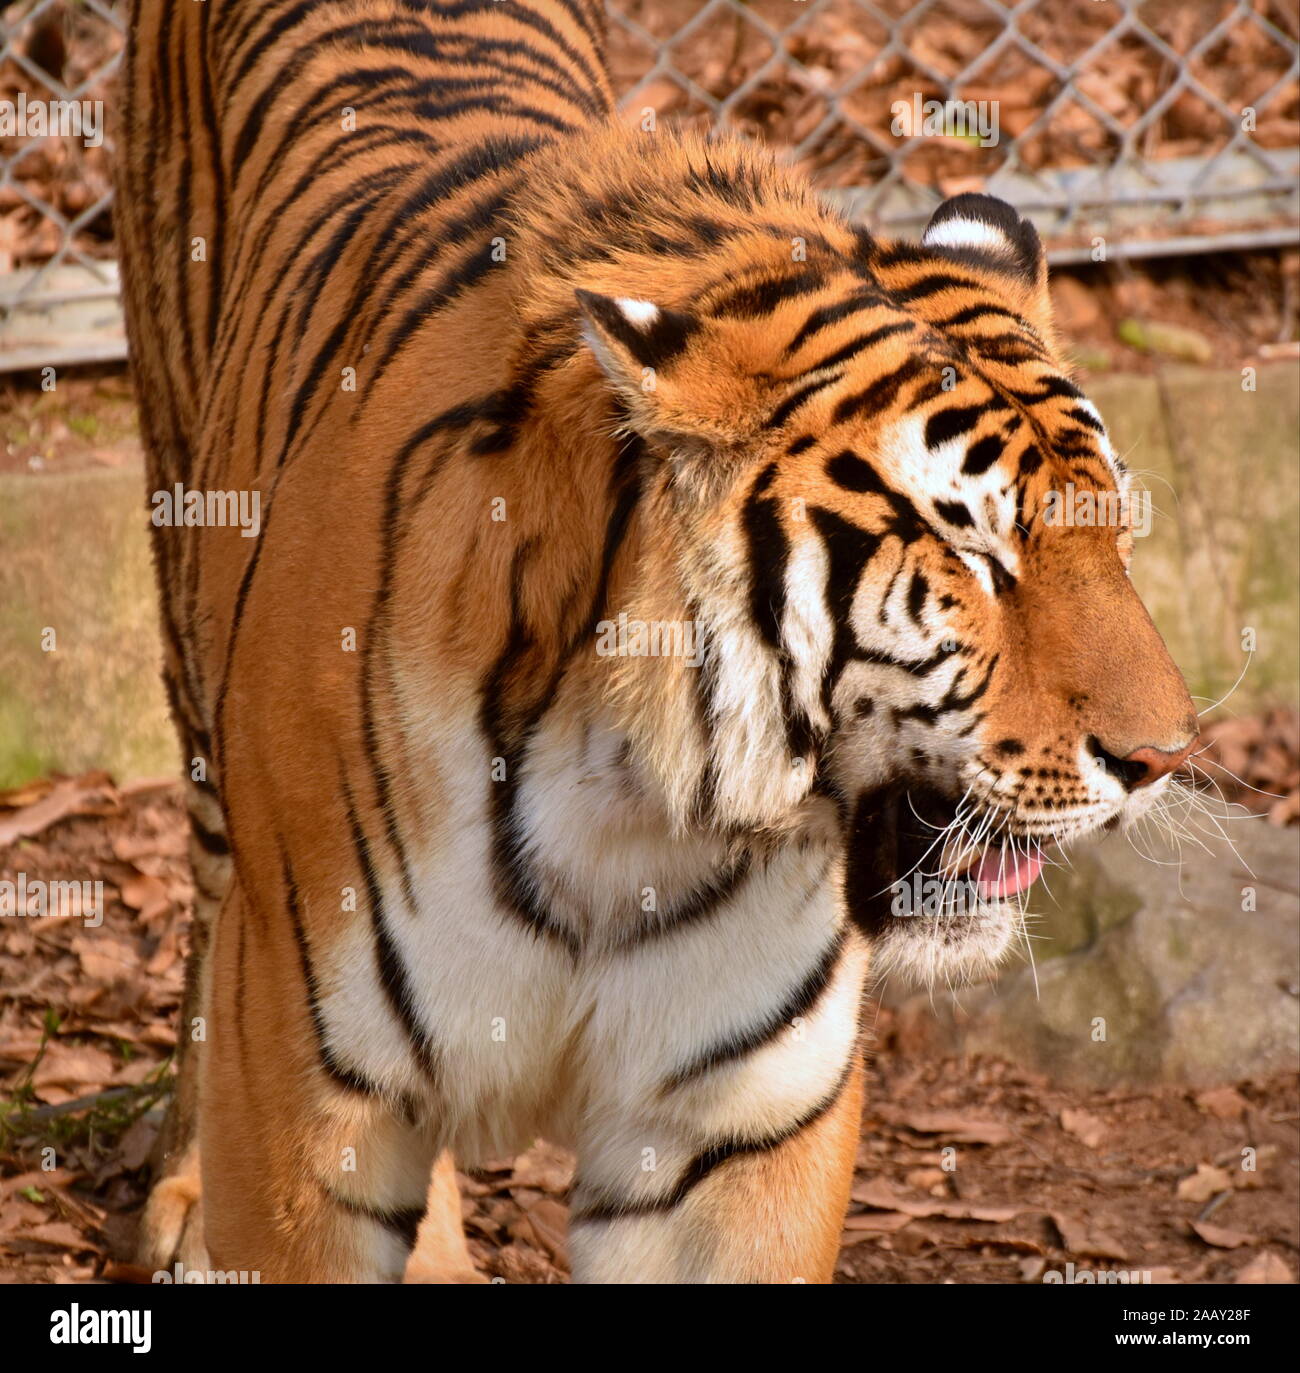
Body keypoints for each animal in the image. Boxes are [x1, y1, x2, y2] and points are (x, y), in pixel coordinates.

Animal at [114, 0, 1197, 1284]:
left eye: (1115, 525)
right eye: (972, 549)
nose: (1164, 758)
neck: (627, 813)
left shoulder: (732, 1128)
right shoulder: (307, 1098)